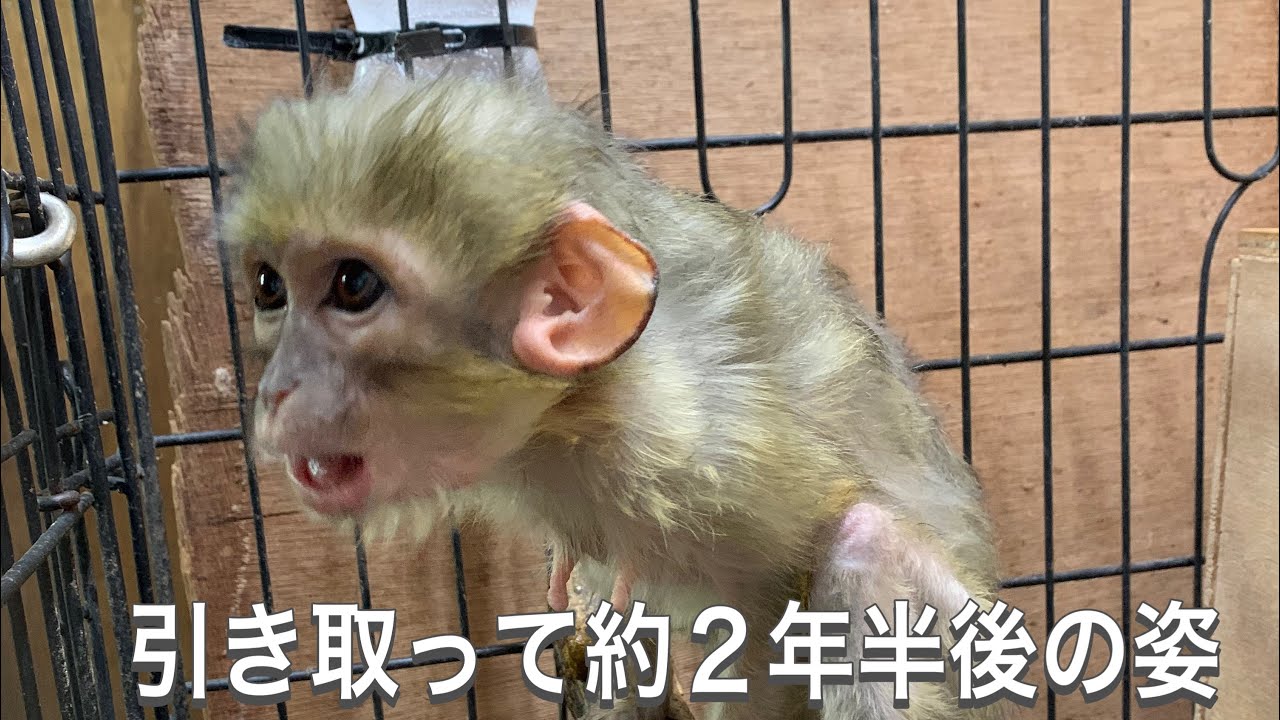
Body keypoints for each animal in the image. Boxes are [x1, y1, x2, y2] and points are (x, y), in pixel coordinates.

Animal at [222, 70, 1005, 720]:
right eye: (269, 288)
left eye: (354, 285)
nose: (277, 388)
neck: (565, 417)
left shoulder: (696, 435)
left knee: (862, 545)